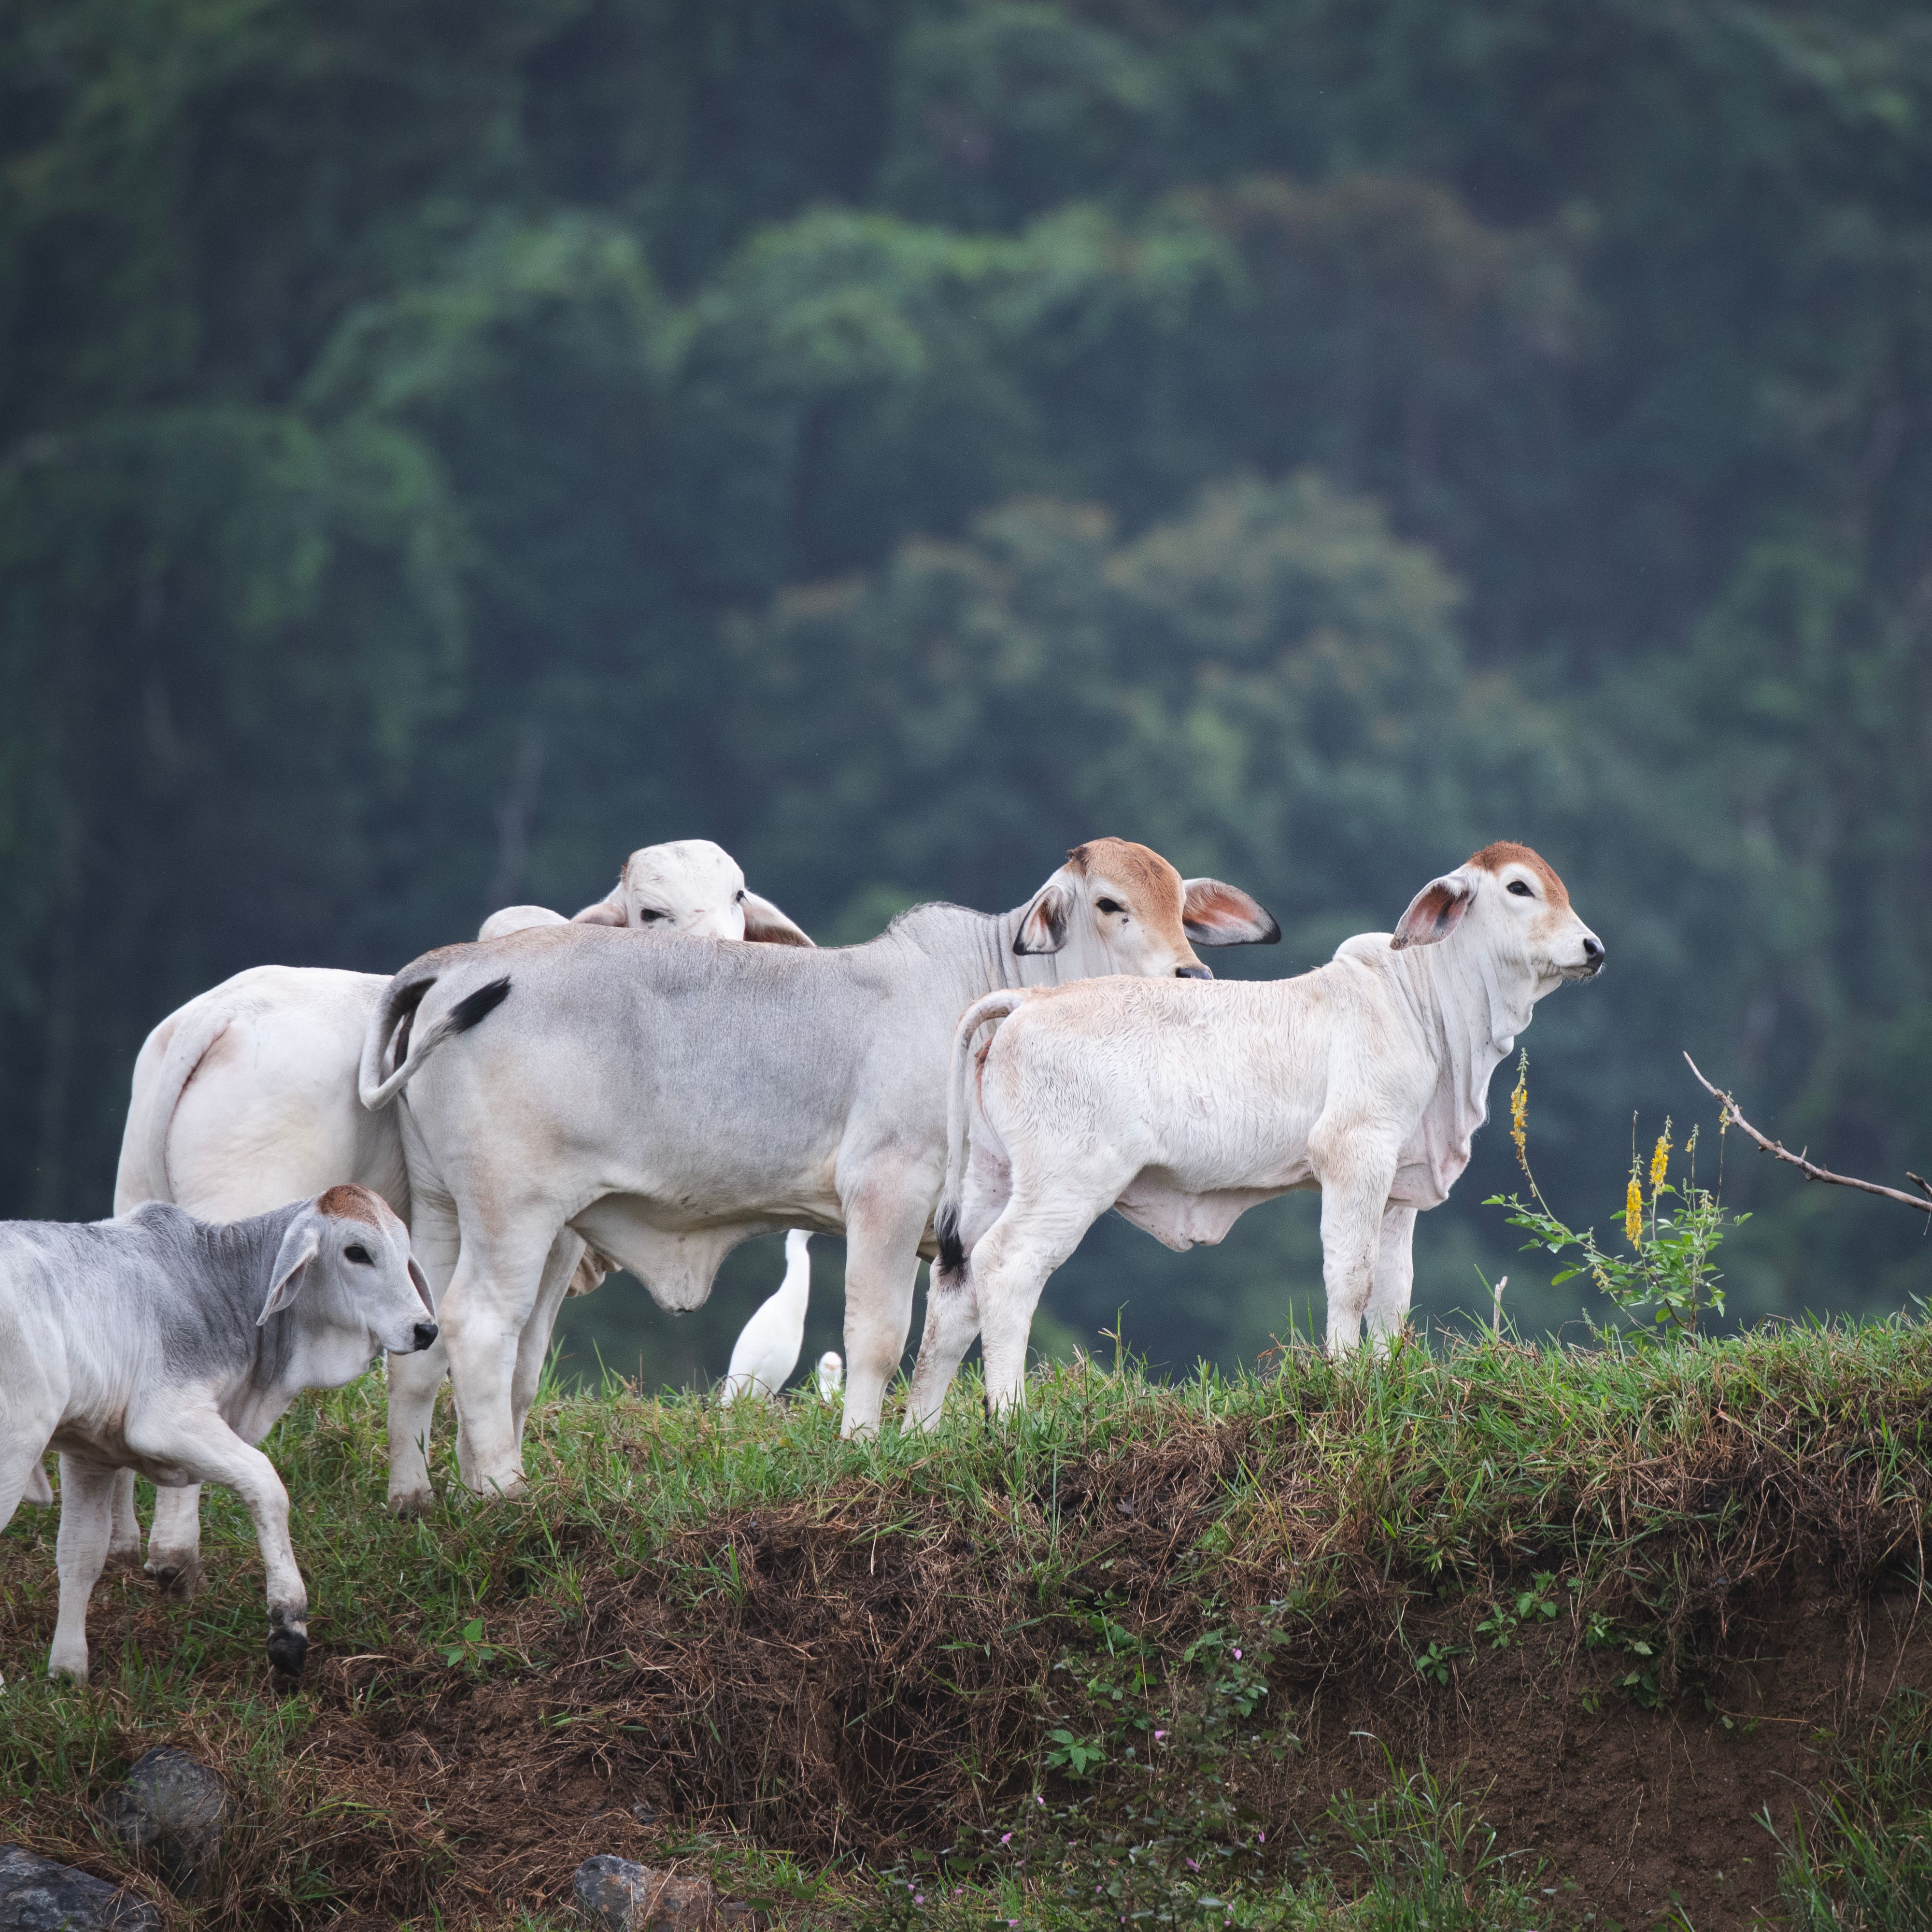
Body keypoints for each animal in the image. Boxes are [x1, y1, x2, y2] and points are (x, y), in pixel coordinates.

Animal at [0, 1186, 436, 1686]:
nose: (426, 1329)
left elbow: (80, 1554)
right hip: (16, 1448)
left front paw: (68, 1671)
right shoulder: (168, 1421)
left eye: (404, 1251)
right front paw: (288, 1626)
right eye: (357, 1252)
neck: (213, 1282)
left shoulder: (90, 1454)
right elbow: (267, 1487)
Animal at [109, 840, 808, 1585]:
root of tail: (220, 1015)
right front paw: (494, 1485)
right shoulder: (554, 1235)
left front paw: (443, 1491)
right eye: (652, 913)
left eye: (738, 896)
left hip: (136, 1199)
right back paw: (175, 1553)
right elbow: (519, 1366)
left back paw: (122, 1543)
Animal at [356, 839, 1279, 1499]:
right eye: (1110, 904)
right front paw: (865, 1449)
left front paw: (920, 1438)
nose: (1192, 972)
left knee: (424, 1341)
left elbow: (954, 1326)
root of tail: (456, 965)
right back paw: (503, 1492)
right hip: (513, 1208)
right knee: (480, 1326)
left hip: (441, 1209)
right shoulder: (888, 1190)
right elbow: (879, 1336)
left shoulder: (963, 1218)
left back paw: (418, 1495)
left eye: (1181, 906)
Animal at [906, 843, 1602, 1421]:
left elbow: (1393, 1295)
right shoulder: (1354, 1153)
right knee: (1005, 1267)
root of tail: (1028, 1001)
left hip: (991, 1178)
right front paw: (1346, 1383)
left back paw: (919, 1435)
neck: (1425, 1005)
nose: (1593, 948)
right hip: (1066, 1184)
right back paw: (1012, 1421)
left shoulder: (1399, 1188)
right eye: (1519, 888)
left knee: (953, 1292)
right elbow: (1351, 1278)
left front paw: (1384, 1380)